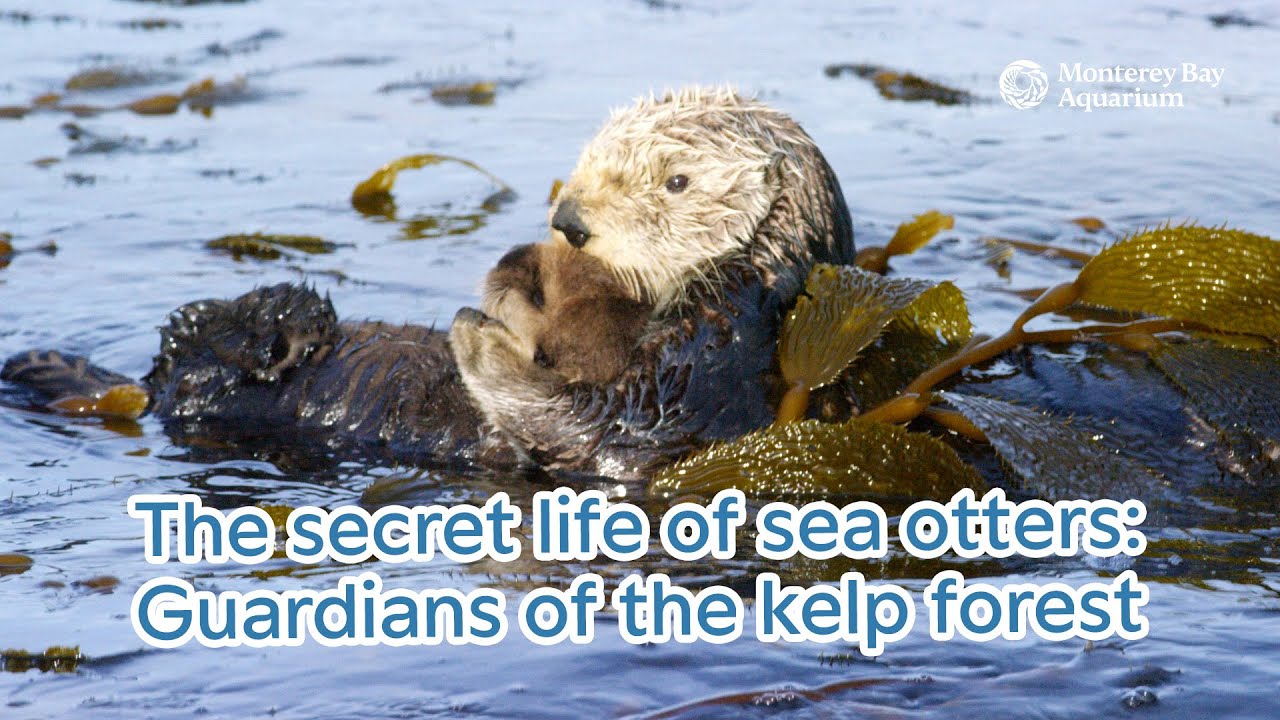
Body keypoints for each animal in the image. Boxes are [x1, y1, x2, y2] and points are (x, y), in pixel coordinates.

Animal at [3, 87, 855, 479]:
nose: (569, 220)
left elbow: (596, 430)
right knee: (193, 335)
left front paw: (479, 337)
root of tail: (149, 395)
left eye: (675, 181)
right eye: (587, 157)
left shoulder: (708, 386)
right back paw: (292, 318)